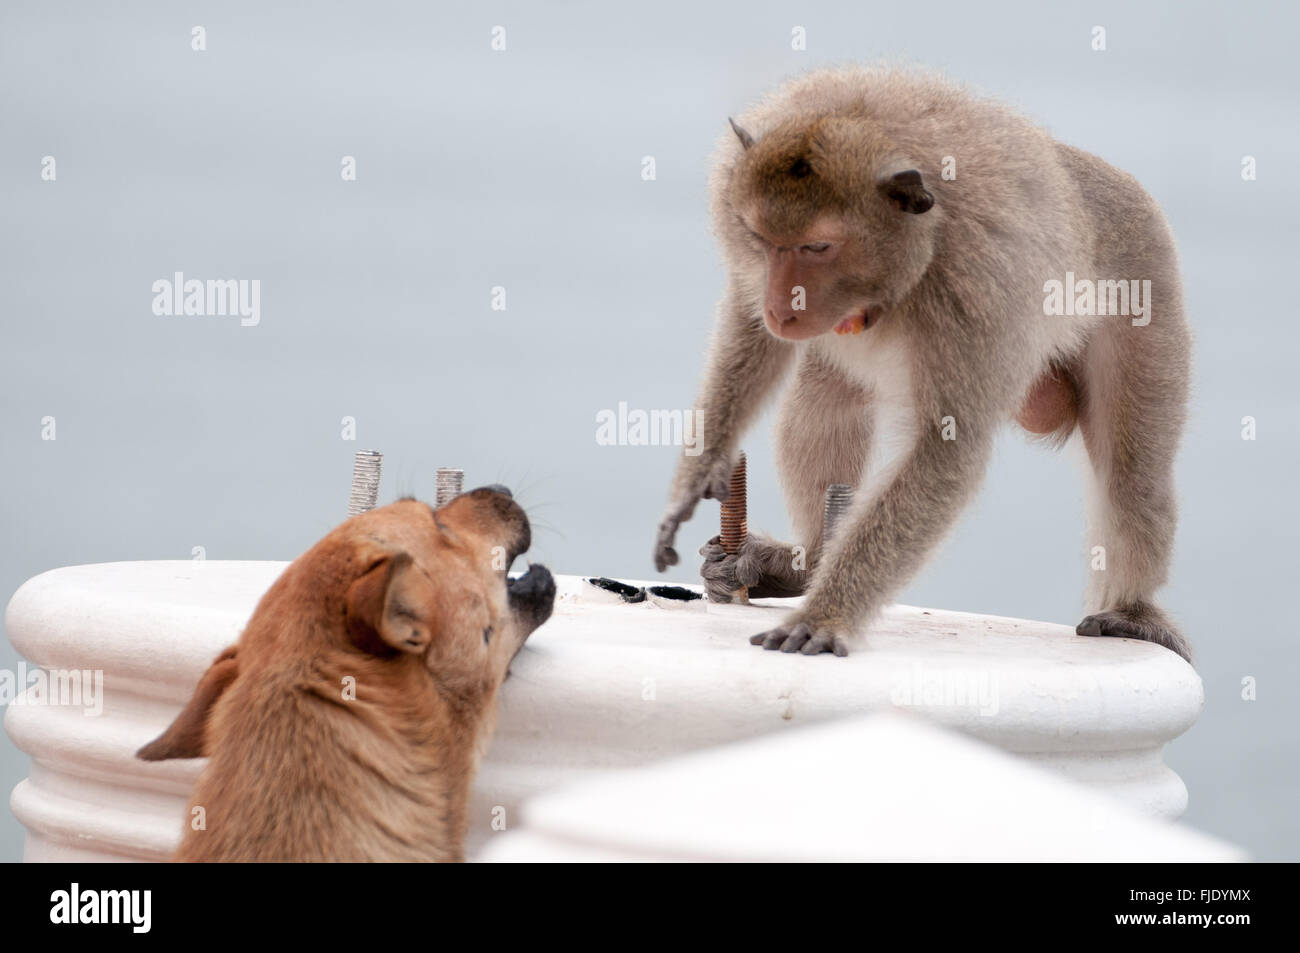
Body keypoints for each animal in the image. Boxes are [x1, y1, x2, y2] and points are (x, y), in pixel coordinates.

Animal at [652, 66, 1192, 662]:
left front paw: (826, 615)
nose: (780, 306)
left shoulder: (976, 286)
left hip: (1145, 284)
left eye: (816, 248)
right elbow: (750, 332)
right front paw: (701, 470)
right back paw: (805, 564)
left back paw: (1134, 612)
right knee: (827, 391)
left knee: (1133, 476)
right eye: (763, 241)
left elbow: (946, 447)